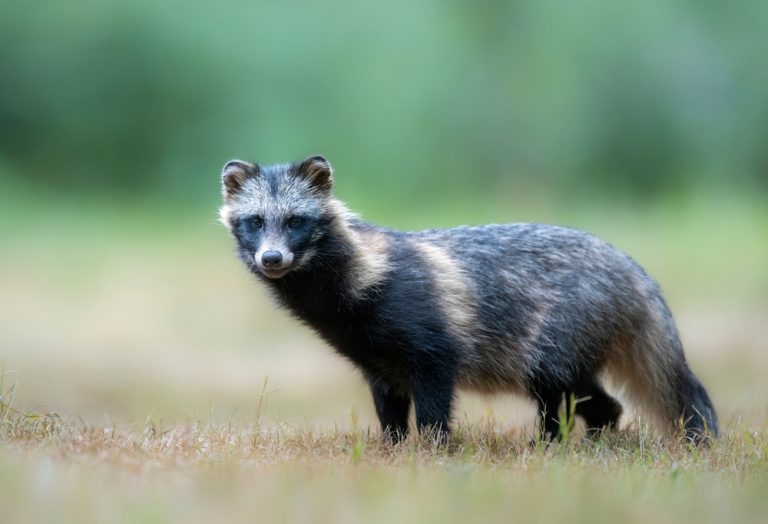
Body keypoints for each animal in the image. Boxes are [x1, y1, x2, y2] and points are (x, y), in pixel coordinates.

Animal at [219, 154, 719, 444]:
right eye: (255, 220)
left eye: (296, 220)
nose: (272, 257)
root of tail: (632, 273)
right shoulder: (377, 359)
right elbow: (389, 409)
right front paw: (393, 447)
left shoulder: (430, 339)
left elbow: (435, 404)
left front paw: (434, 449)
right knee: (601, 401)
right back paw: (595, 440)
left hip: (553, 335)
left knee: (557, 396)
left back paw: (548, 444)